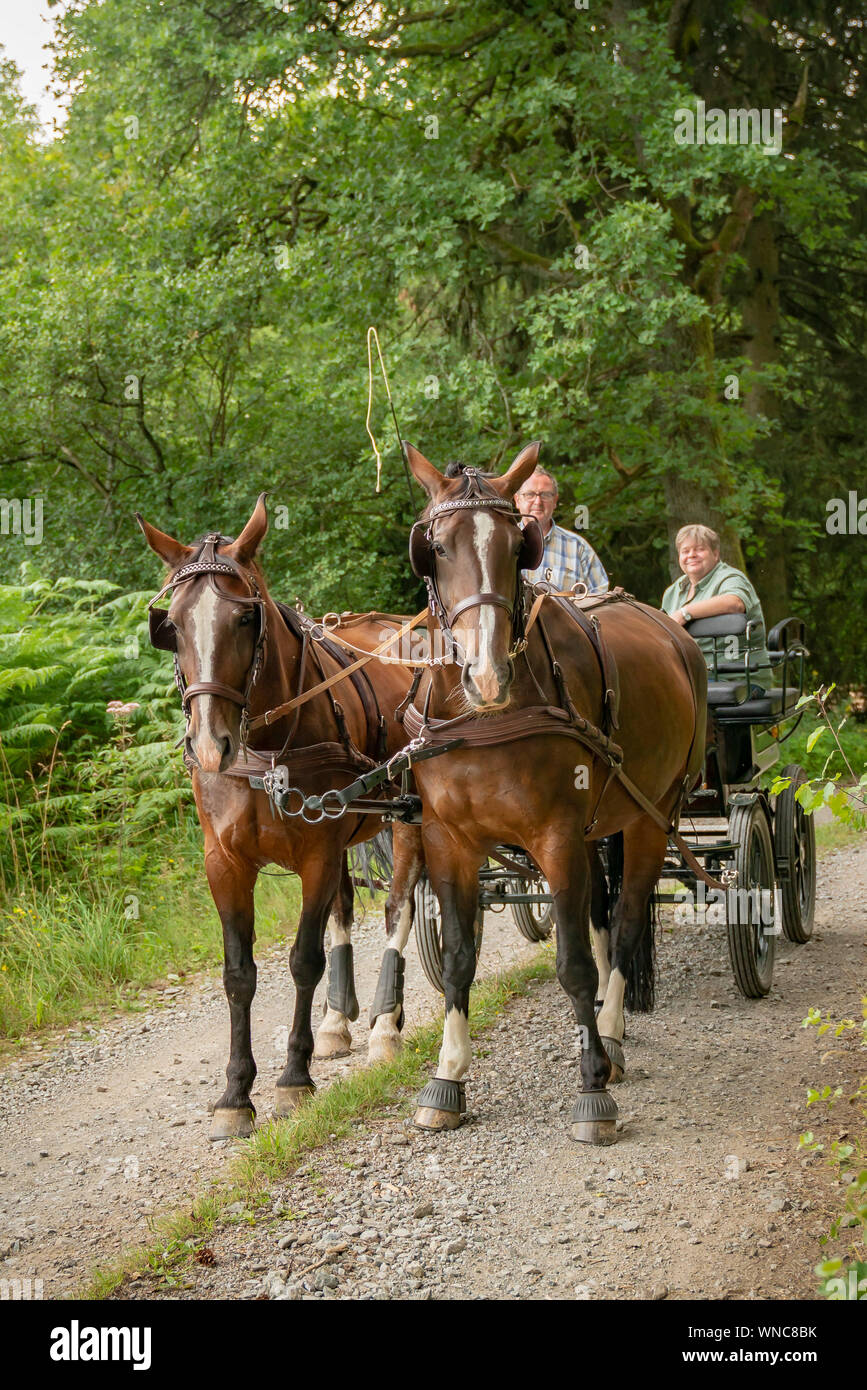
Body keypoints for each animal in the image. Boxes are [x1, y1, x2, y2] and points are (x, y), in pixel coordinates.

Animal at [137, 496, 424, 1139]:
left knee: (399, 907)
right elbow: (239, 974)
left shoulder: (317, 852)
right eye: (173, 625)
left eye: (245, 619)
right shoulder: (224, 862)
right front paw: (235, 1094)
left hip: (408, 816)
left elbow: (303, 959)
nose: (210, 745)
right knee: (346, 908)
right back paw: (339, 1024)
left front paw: (293, 1078)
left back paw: (384, 1027)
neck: (264, 747)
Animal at [396, 442, 708, 1144]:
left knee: (624, 924)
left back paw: (610, 1038)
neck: (486, 718)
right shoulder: (447, 840)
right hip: (600, 826)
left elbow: (574, 963)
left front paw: (593, 1089)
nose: (485, 675)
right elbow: (458, 959)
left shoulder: (557, 836)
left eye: (519, 546)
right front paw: (447, 1080)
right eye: (436, 546)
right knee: (601, 914)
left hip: (653, 814)